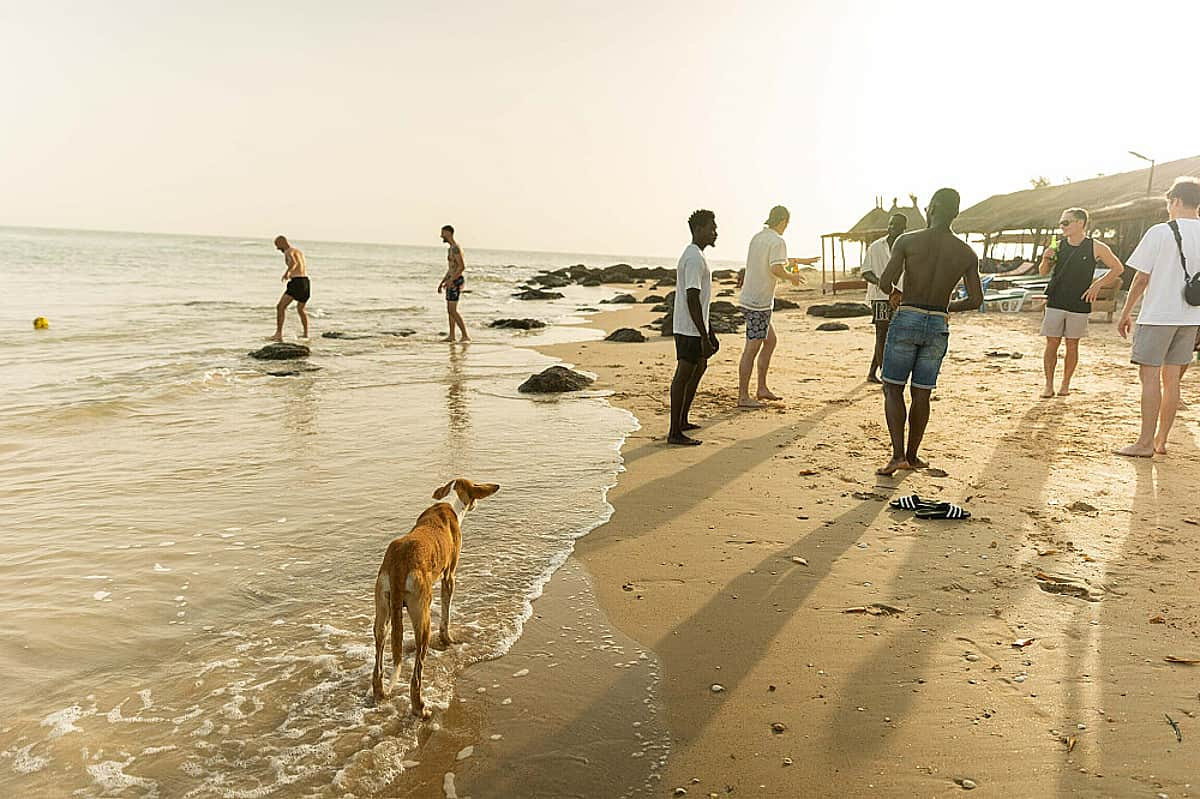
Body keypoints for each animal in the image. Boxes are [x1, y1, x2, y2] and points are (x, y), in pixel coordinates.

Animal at [364, 472, 496, 715]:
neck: (449, 503)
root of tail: (399, 562)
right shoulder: (449, 577)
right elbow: (446, 615)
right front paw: (448, 640)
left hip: (382, 614)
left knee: (378, 667)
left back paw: (380, 693)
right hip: (422, 617)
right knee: (416, 677)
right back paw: (420, 709)